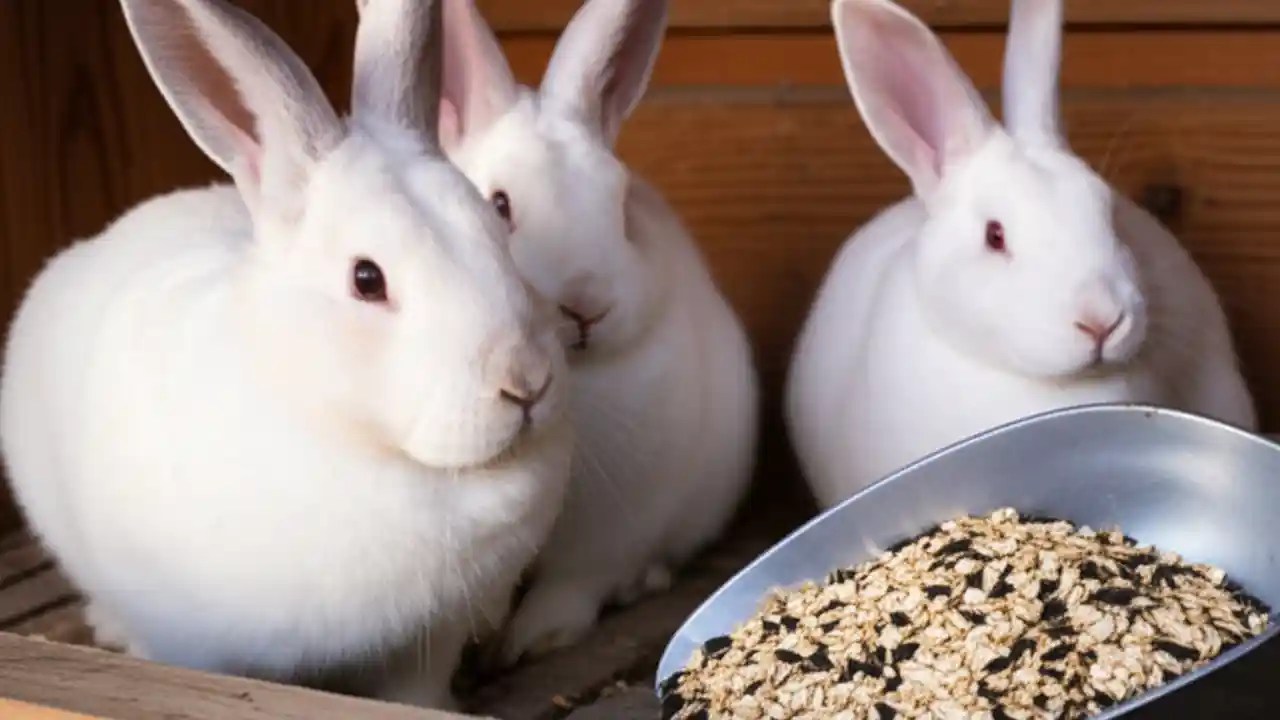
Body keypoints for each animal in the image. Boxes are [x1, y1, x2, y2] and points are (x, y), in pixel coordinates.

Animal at [0, 0, 573, 709]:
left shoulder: (430, 642)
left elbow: (415, 693)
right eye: (366, 279)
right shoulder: (194, 643)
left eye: (496, 223)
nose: (525, 381)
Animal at [421, 0, 760, 665]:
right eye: (498, 206)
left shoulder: (612, 527)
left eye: (621, 206)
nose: (585, 306)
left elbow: (572, 583)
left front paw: (536, 640)